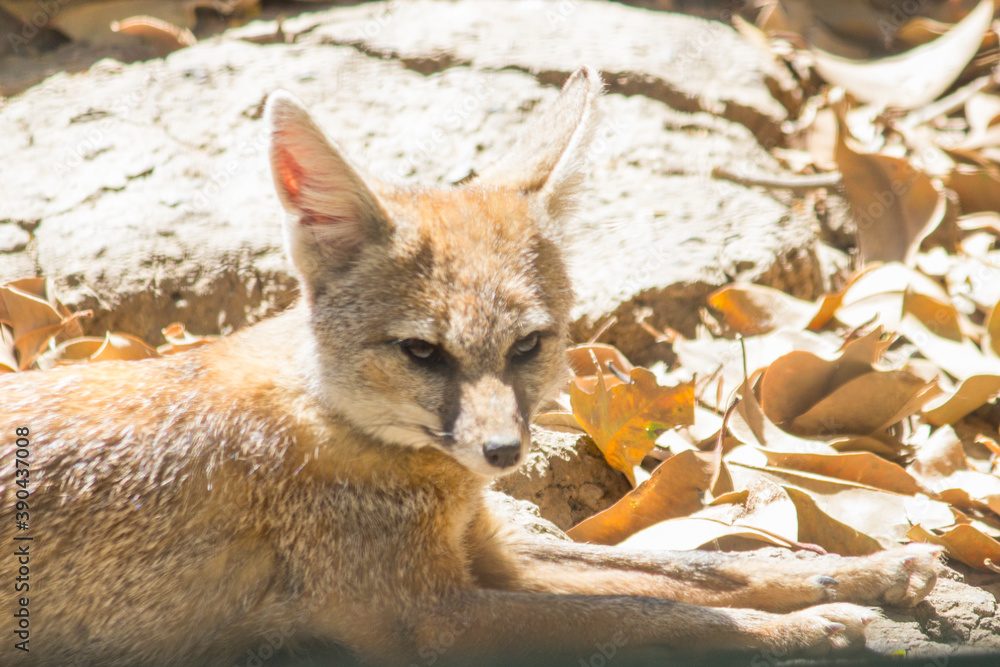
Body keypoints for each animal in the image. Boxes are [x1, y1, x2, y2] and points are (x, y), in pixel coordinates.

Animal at [0, 66, 943, 666]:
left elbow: (703, 570)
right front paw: (812, 627)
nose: (503, 454)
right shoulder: (432, 617)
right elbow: (654, 608)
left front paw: (856, 572)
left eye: (527, 346)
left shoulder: (488, 558)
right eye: (423, 351)